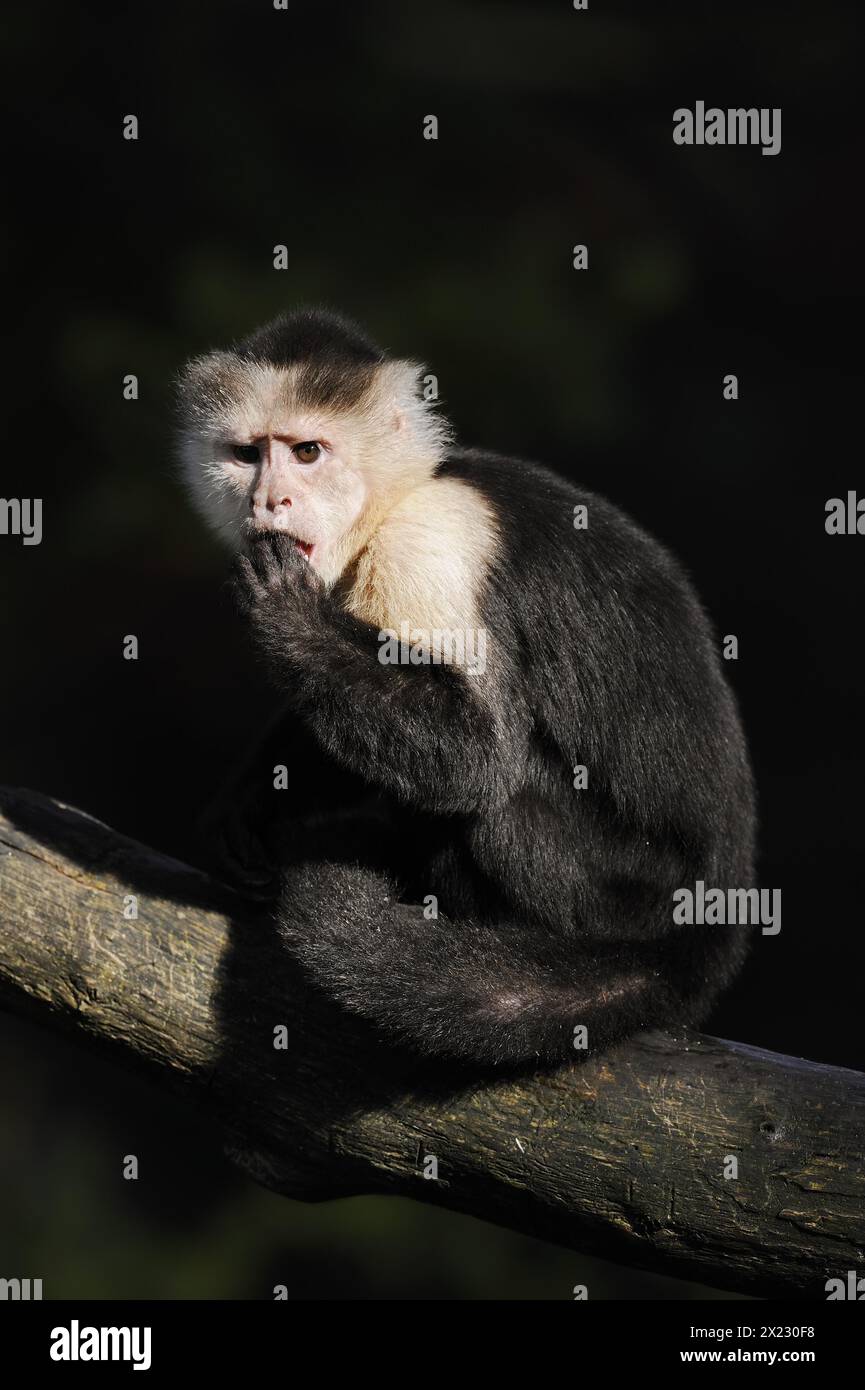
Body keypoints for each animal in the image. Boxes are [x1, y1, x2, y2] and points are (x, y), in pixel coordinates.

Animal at [176, 307, 756, 1067]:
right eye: (248, 455)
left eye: (306, 453)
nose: (269, 499)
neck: (390, 502)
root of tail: (711, 930)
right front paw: (248, 802)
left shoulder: (431, 541)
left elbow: (474, 754)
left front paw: (288, 618)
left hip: (622, 893)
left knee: (495, 805)